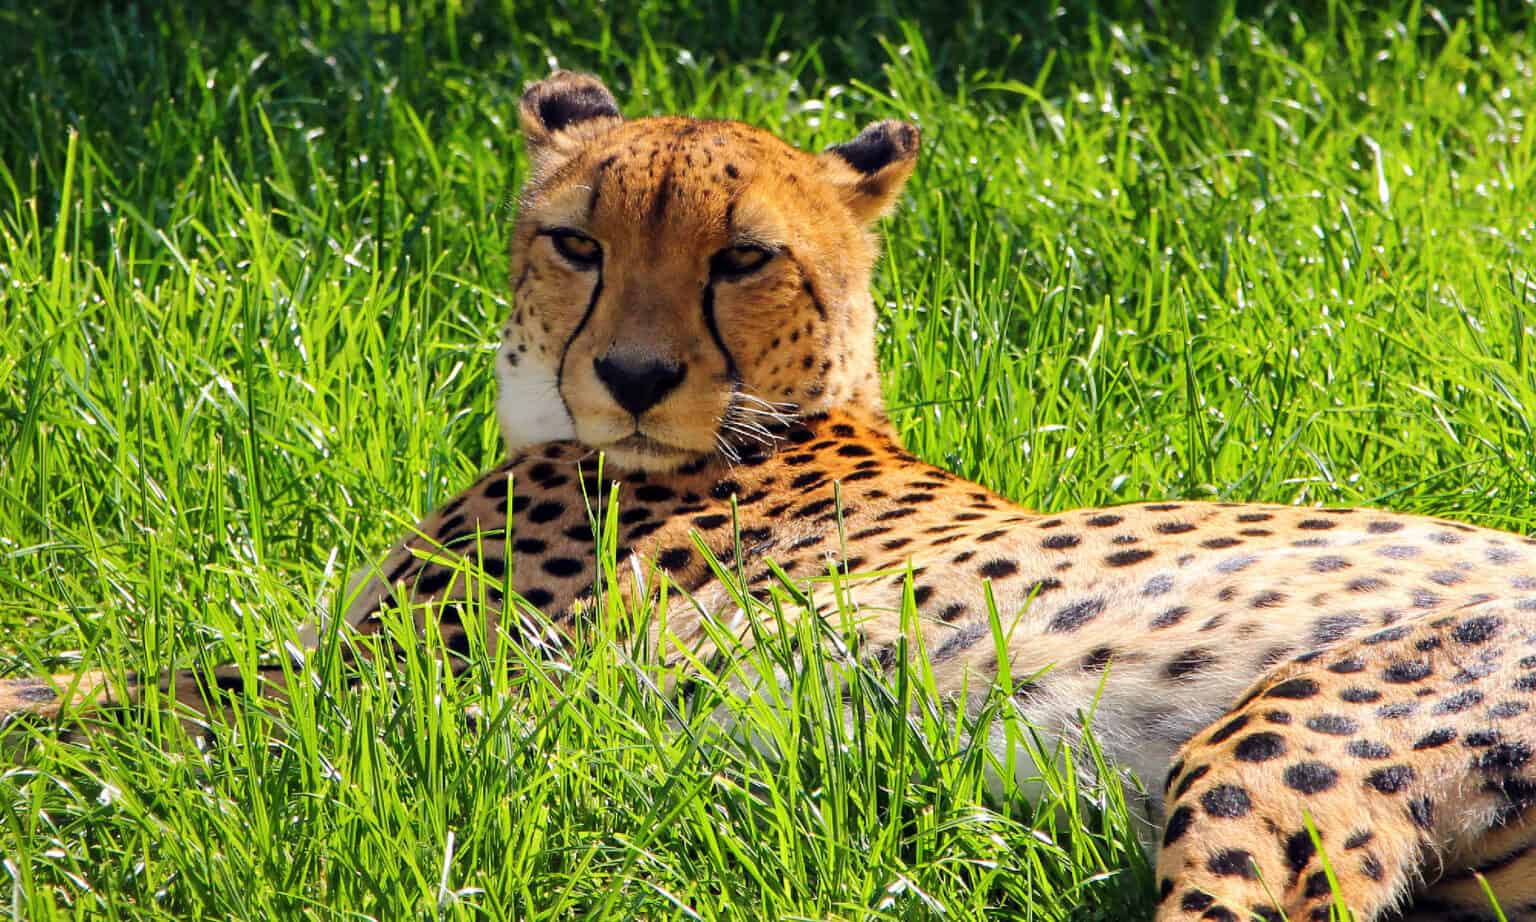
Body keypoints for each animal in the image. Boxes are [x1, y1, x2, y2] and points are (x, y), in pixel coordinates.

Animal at [5, 70, 1536, 922]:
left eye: (742, 257)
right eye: (578, 241)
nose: (631, 374)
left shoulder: (402, 690)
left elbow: (101, 690)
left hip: (1265, 750)